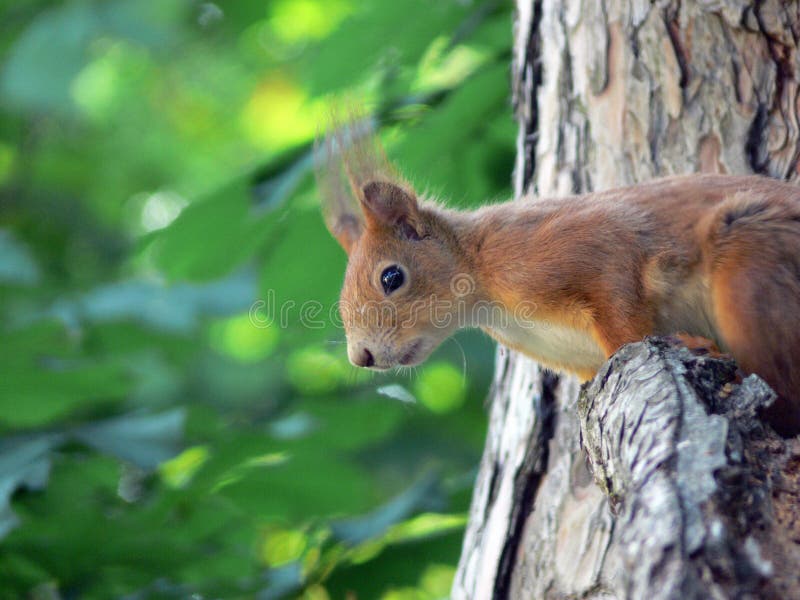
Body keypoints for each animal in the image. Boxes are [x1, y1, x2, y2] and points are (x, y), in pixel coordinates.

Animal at [316, 118, 800, 436]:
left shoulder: (578, 246)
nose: (361, 357)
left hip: (750, 267)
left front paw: (680, 342)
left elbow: (622, 306)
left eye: (391, 278)